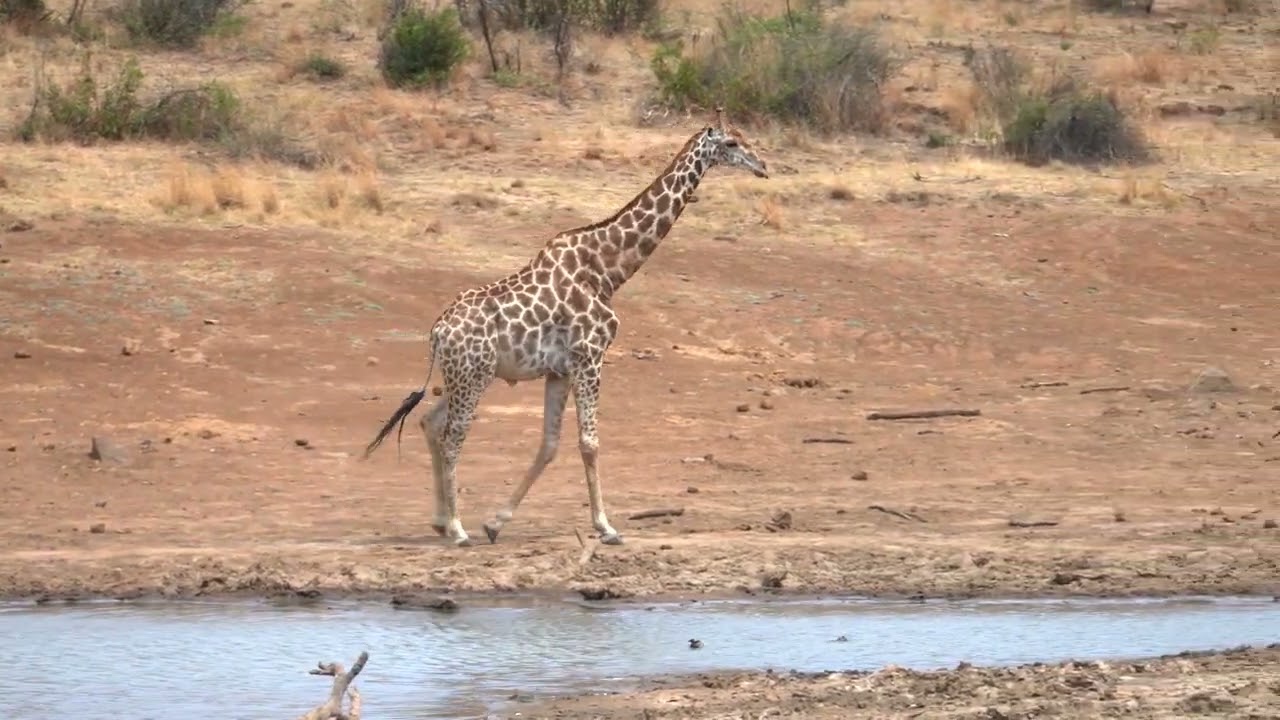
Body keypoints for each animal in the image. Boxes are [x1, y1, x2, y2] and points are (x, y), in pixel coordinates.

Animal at [360, 107, 769, 547]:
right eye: (732, 142)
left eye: (745, 138)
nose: (762, 166)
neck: (608, 268)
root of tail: (436, 333)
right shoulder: (590, 356)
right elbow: (589, 443)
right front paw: (606, 527)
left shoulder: (558, 370)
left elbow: (550, 444)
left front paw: (497, 522)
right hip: (473, 378)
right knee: (453, 437)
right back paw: (456, 528)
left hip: (464, 377)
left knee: (430, 423)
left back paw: (440, 521)